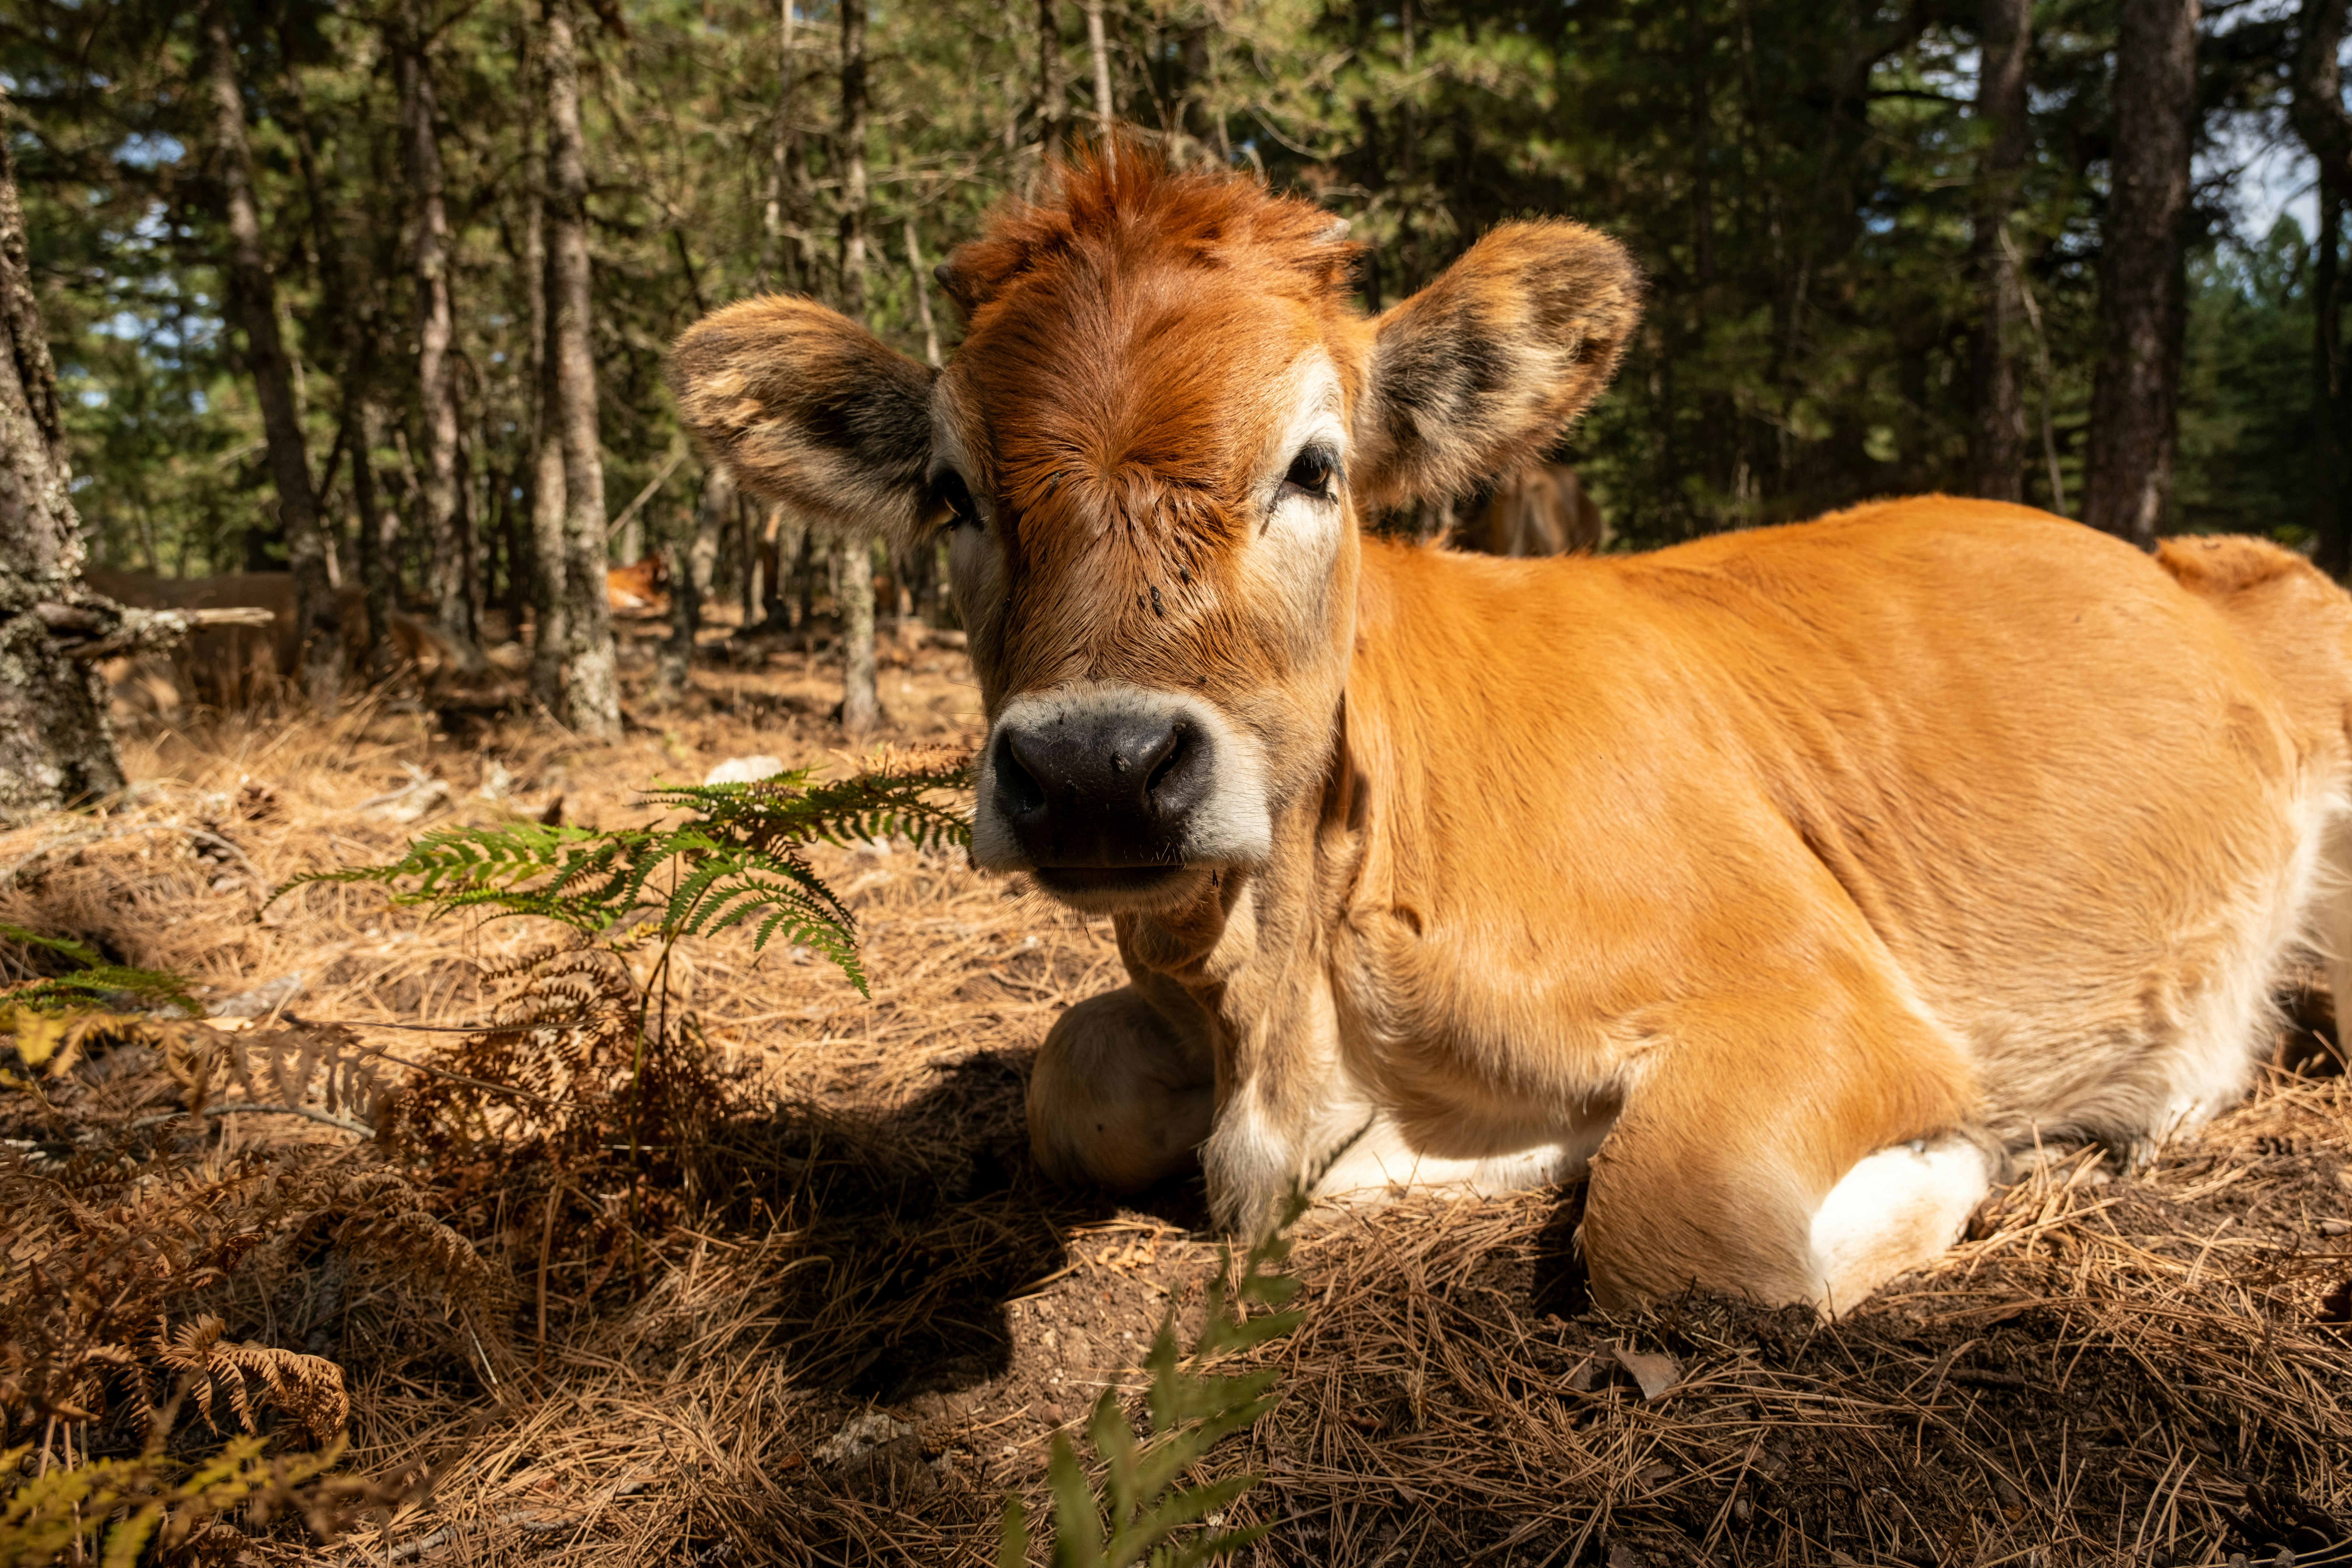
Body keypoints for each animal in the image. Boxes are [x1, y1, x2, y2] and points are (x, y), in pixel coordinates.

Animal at [668, 150, 2352, 1313]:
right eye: (951, 493)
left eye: (1314, 466)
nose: (1096, 769)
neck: (1294, 989)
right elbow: (1068, 1080)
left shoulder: (1827, 997)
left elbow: (1687, 1226)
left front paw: (1976, 1152)